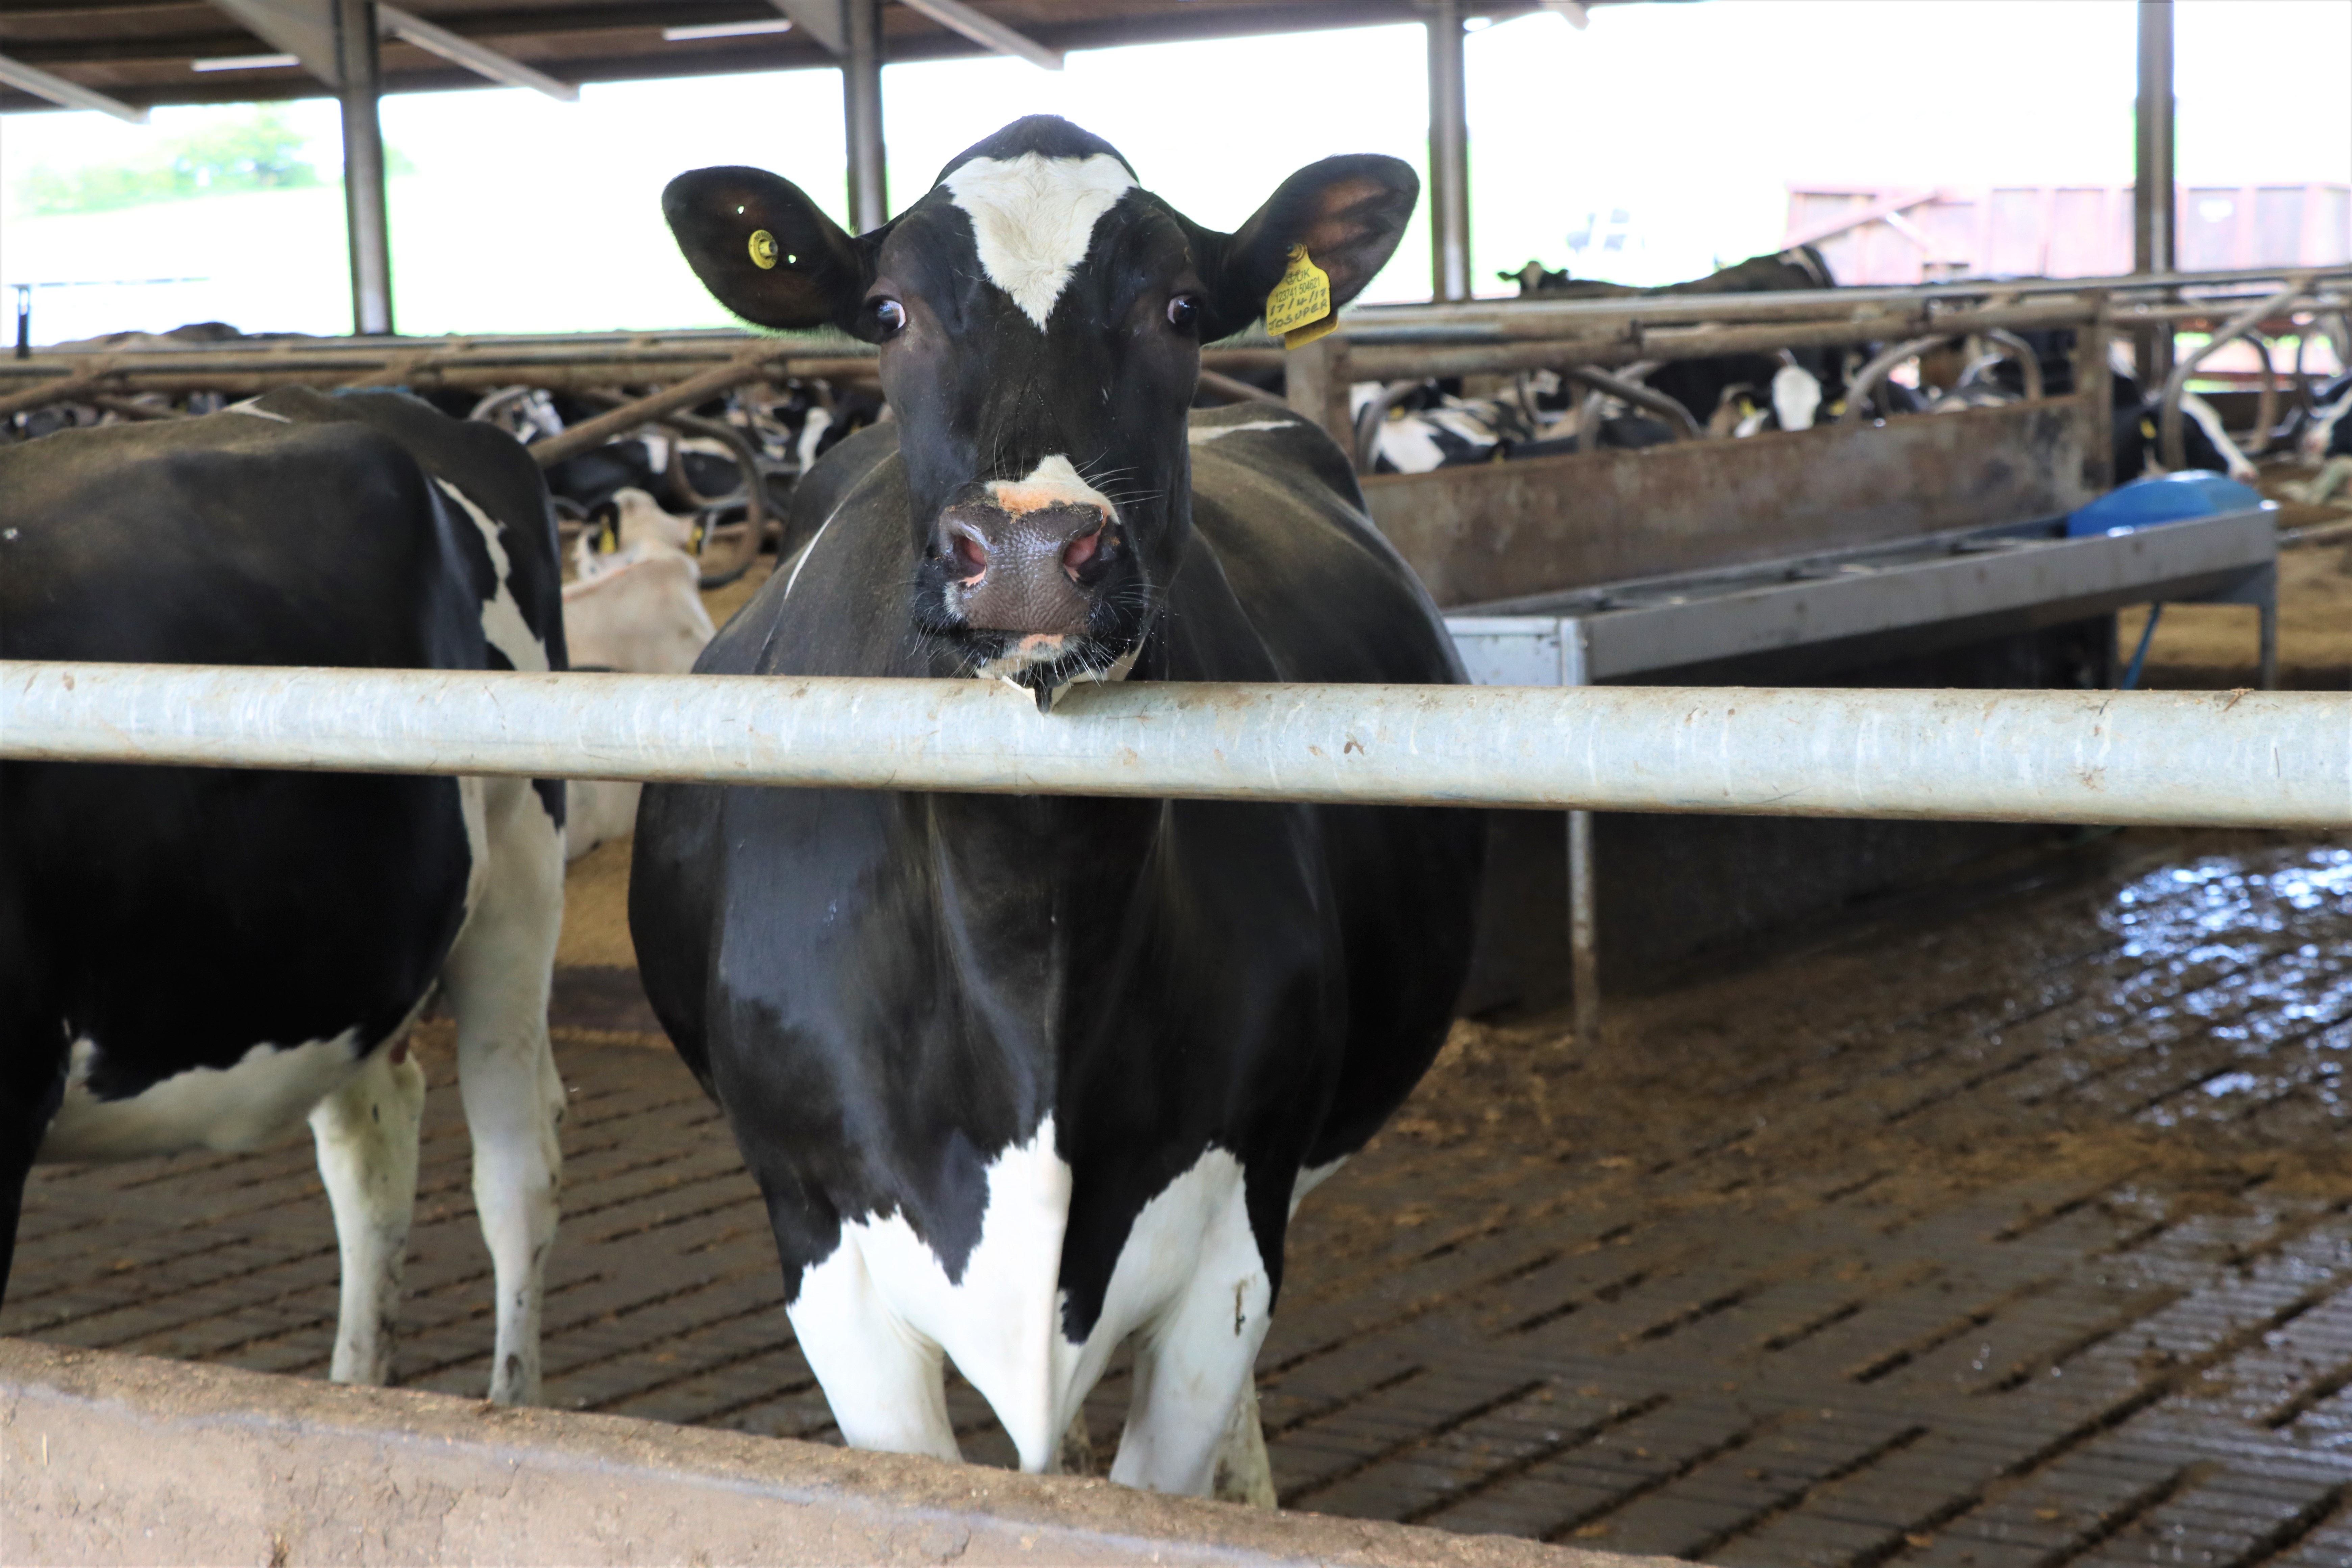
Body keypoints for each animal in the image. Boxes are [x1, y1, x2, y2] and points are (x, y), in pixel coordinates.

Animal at [630, 116, 1484, 1499]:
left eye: (1182, 306)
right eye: (888, 309)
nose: (1032, 551)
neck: (1025, 921)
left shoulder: (1231, 1234)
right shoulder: (827, 1251)